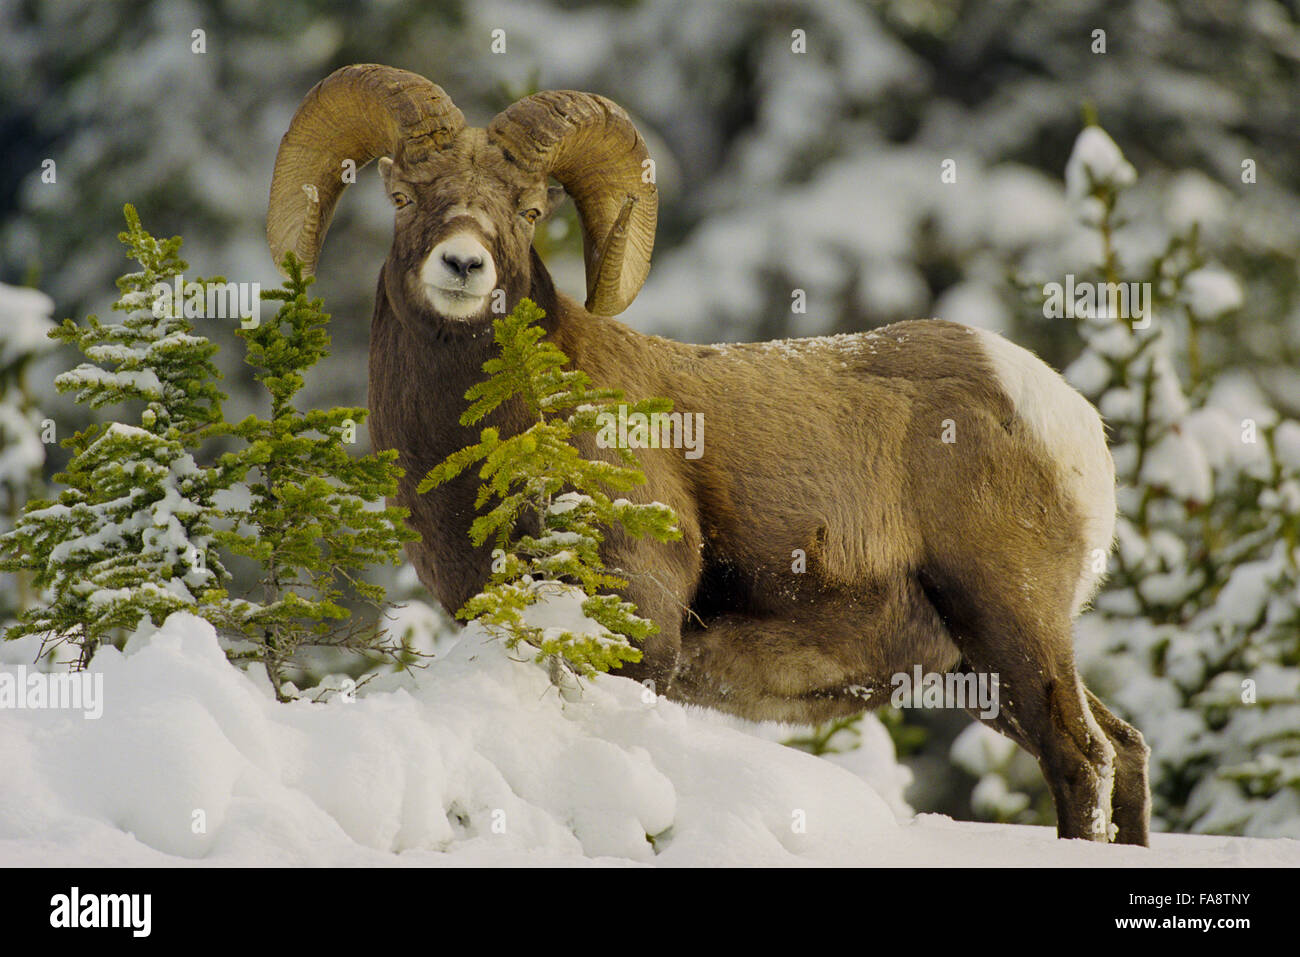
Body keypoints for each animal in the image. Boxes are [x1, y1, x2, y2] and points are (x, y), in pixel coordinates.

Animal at [267, 63, 1151, 844]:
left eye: (527, 208)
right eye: (404, 197)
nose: (461, 265)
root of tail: (1069, 417)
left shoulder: (637, 633)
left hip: (1011, 622)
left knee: (1082, 758)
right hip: (975, 665)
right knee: (1127, 747)